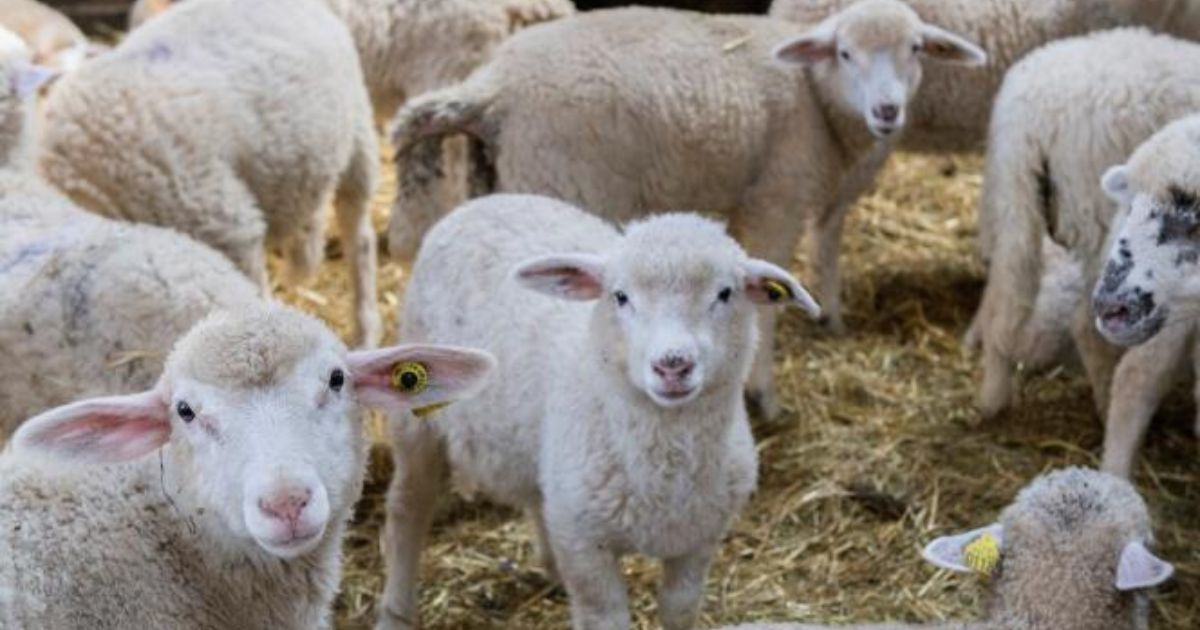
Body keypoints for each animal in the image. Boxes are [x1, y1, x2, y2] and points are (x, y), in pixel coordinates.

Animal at [378, 194, 821, 630]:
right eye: (620, 297)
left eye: (725, 293)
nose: (672, 365)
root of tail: (485, 200)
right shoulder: (585, 545)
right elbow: (605, 616)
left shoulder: (699, 539)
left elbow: (679, 609)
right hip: (417, 416)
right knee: (407, 510)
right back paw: (396, 612)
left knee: (536, 497)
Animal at [388, 1, 985, 417]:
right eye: (845, 53)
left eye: (915, 49)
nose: (888, 111)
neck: (816, 97)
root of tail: (489, 89)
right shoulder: (777, 199)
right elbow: (768, 304)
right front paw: (763, 398)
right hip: (559, 184)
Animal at [974, 29, 1200, 439]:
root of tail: (1030, 114)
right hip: (1098, 217)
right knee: (1086, 323)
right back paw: (1105, 402)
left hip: (1014, 200)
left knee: (1007, 302)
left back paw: (993, 399)